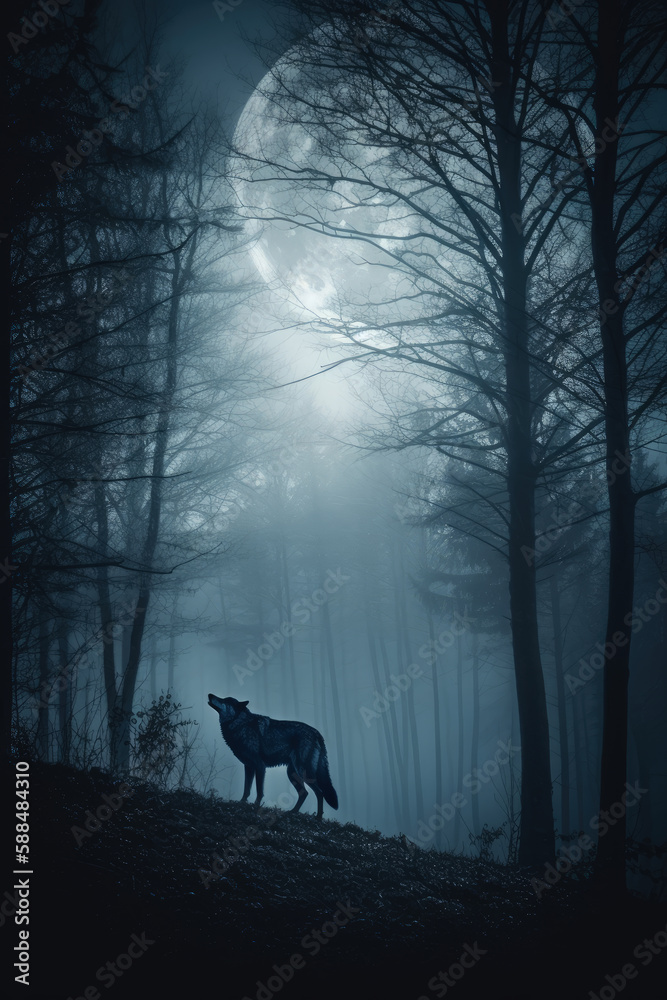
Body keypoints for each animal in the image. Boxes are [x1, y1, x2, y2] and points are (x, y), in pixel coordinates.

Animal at [208, 694, 338, 819]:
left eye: (224, 701)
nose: (210, 694)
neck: (242, 724)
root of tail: (317, 733)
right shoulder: (248, 766)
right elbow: (246, 789)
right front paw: (242, 803)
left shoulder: (260, 766)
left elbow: (259, 791)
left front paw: (255, 807)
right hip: (291, 773)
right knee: (304, 793)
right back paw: (293, 812)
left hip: (302, 772)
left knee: (319, 792)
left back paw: (318, 817)